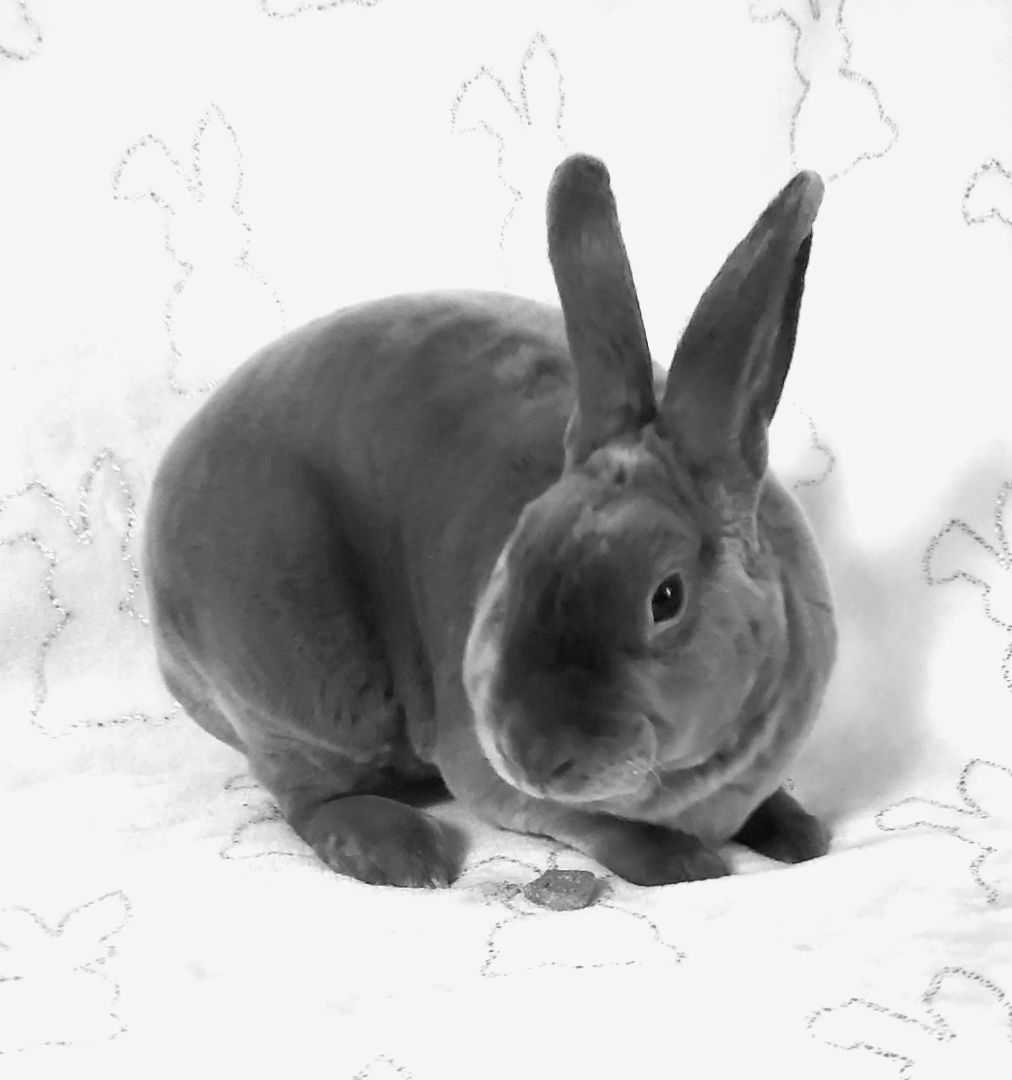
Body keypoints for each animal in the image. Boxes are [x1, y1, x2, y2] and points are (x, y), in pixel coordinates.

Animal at [144, 152, 837, 888]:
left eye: (666, 598)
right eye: (515, 558)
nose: (531, 754)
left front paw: (802, 834)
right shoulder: (491, 776)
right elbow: (596, 823)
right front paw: (682, 861)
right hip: (301, 697)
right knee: (307, 795)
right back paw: (405, 853)